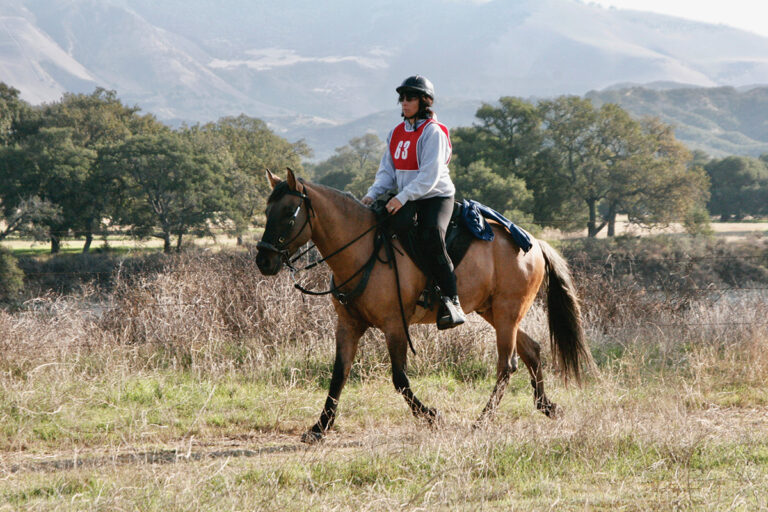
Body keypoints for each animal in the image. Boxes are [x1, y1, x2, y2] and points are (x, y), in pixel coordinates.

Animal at [256, 168, 591, 443]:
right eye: (267, 210)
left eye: (288, 213)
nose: (263, 260)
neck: (363, 249)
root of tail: (534, 244)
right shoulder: (349, 326)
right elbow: (339, 374)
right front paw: (319, 428)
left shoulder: (394, 326)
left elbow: (400, 378)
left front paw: (432, 416)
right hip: (494, 312)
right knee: (531, 350)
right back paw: (547, 407)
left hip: (508, 313)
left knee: (507, 364)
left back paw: (482, 422)